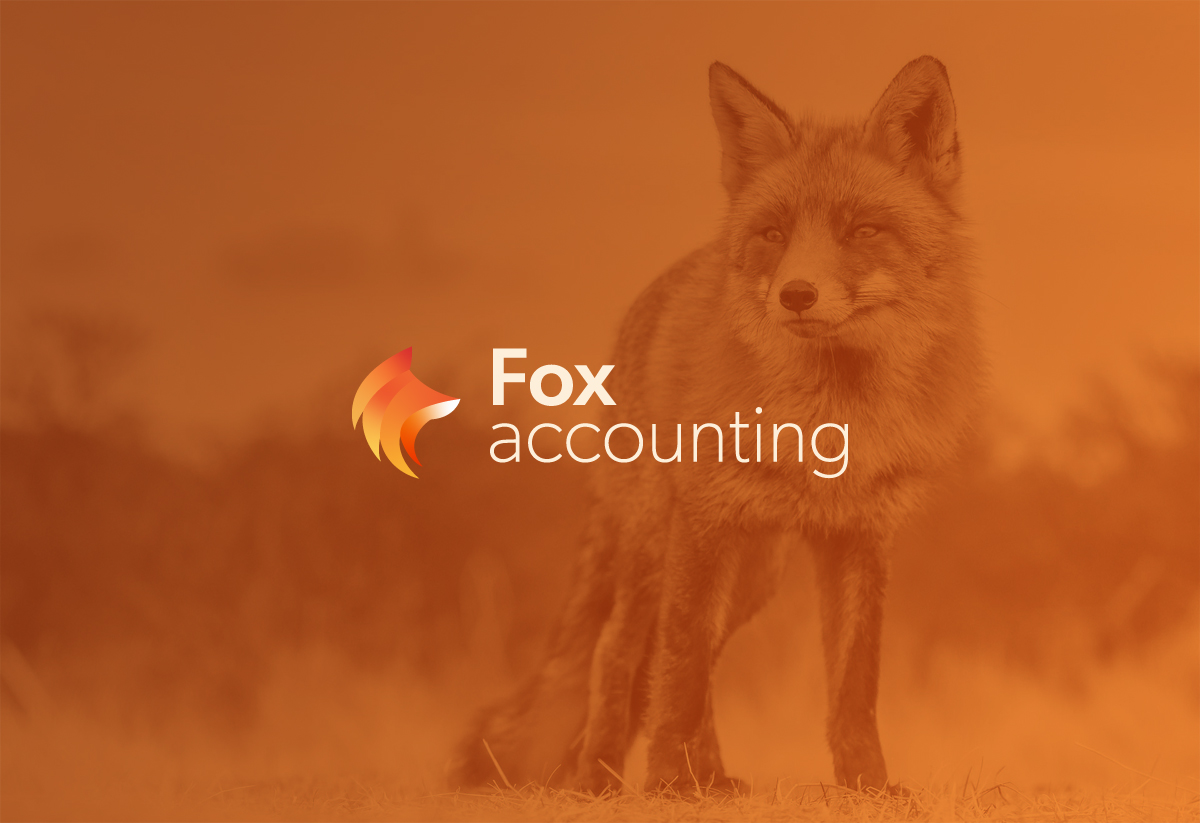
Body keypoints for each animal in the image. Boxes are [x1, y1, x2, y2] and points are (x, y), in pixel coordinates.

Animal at [450, 56, 983, 795]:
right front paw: (665, 782)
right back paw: (601, 777)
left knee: (694, 660)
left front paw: (867, 784)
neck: (826, 418)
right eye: (773, 235)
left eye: (862, 231)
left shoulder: (860, 534)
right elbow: (678, 668)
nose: (796, 294)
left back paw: (707, 777)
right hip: (660, 544)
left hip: (752, 572)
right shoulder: (705, 517)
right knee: (624, 652)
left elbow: (853, 685)